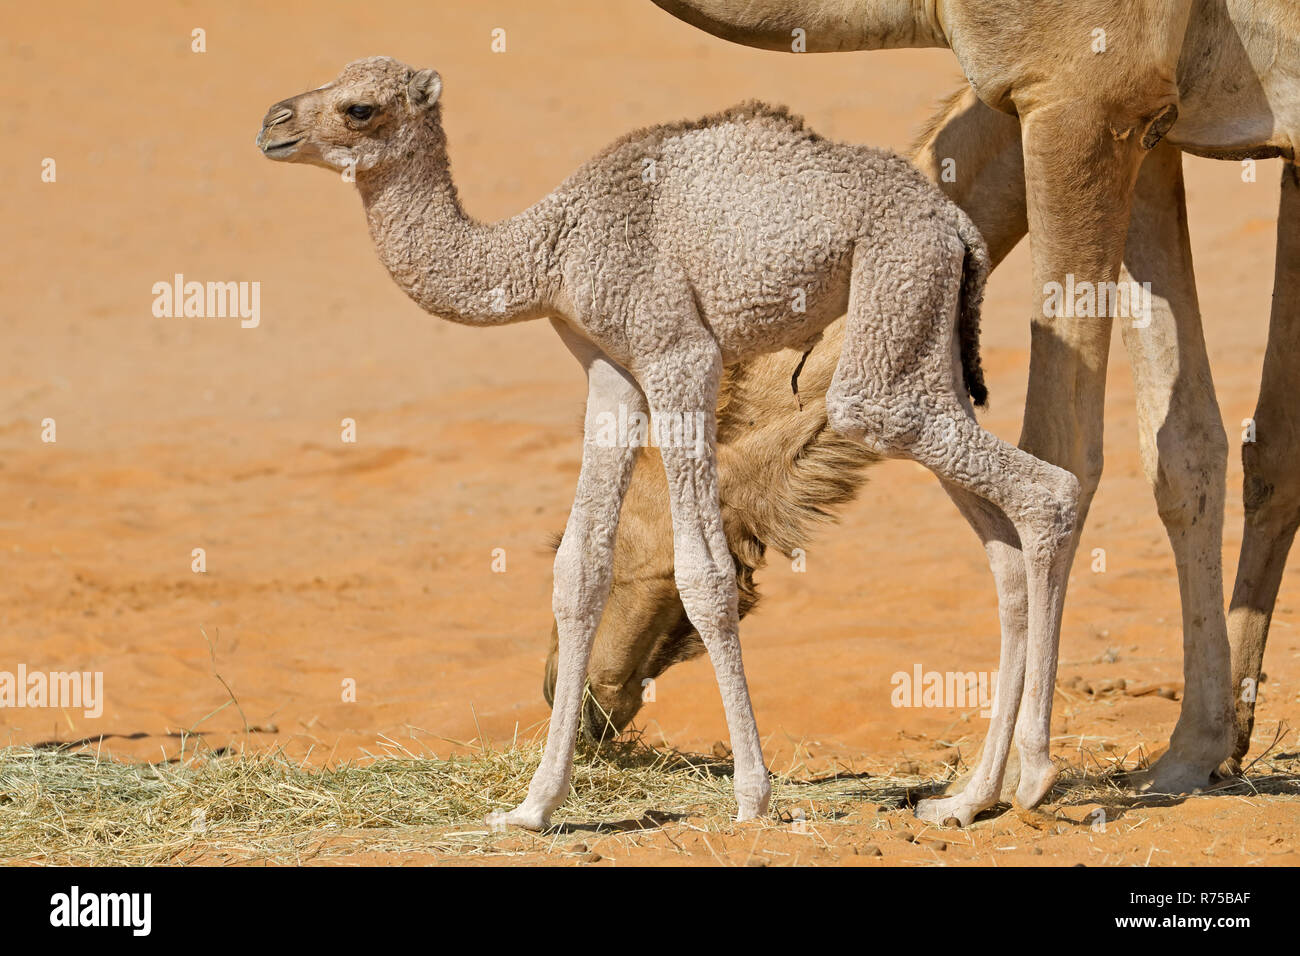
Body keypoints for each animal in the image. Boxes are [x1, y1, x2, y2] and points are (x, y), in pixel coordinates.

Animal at [257, 56, 1080, 828]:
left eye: (360, 108)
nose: (273, 123)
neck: (551, 250)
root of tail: (955, 226)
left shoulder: (678, 353)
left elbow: (704, 573)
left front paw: (752, 795)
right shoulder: (609, 370)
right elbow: (579, 570)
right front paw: (532, 807)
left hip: (890, 319)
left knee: (1047, 489)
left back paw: (1035, 774)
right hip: (922, 342)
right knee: (1001, 544)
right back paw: (968, 799)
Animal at [646, 0, 1300, 787]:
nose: (580, 693)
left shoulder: (1085, 95)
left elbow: (1062, 448)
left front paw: (1010, 778)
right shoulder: (1154, 125)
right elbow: (1187, 447)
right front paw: (1195, 749)